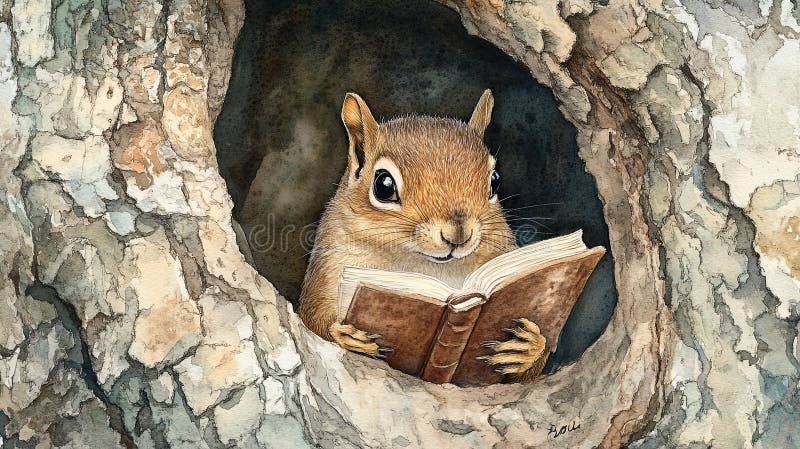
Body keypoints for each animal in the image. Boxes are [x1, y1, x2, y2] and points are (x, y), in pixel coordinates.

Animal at [298, 90, 548, 381]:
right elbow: (312, 319)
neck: (422, 265)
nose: (458, 234)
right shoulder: (329, 269)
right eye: (384, 185)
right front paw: (343, 335)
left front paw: (529, 347)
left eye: (495, 180)